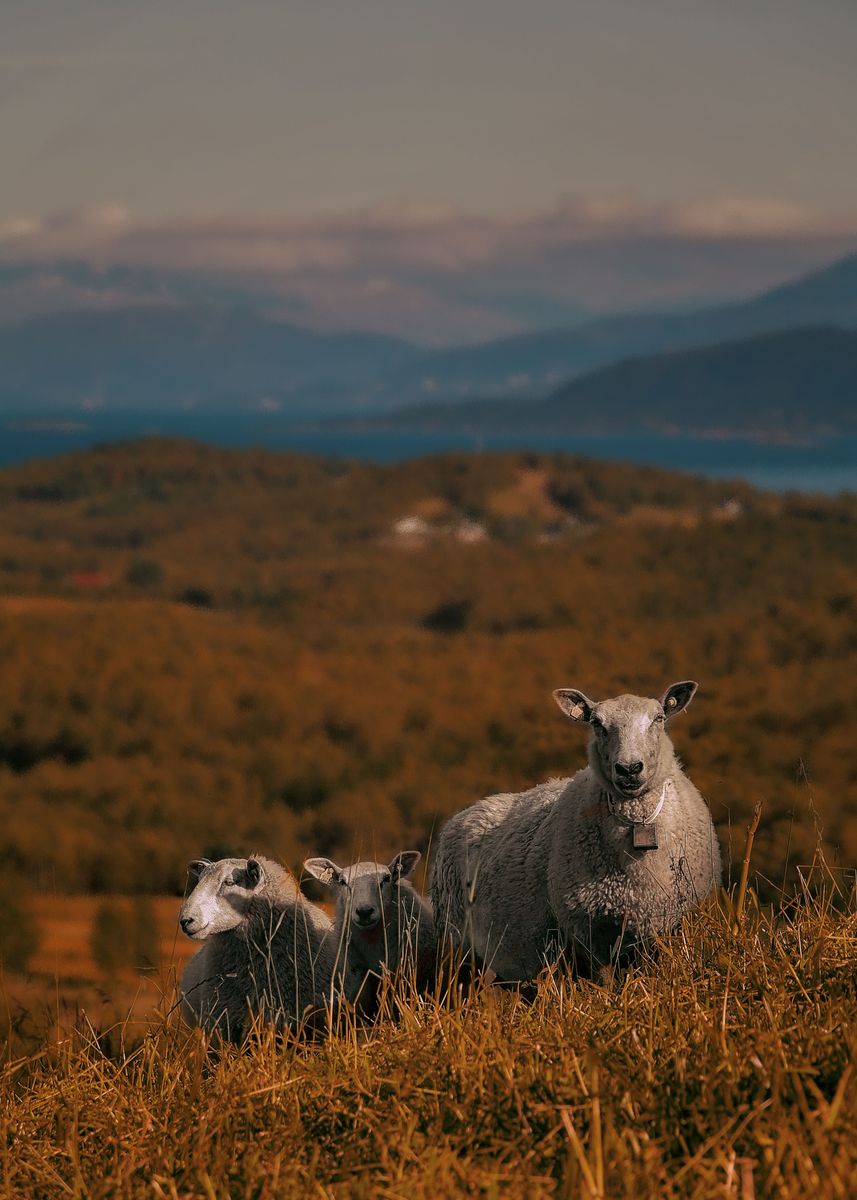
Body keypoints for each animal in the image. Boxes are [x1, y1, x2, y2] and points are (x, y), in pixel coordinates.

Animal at [430, 681, 722, 981]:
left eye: (659, 718)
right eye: (597, 723)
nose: (629, 769)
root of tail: (465, 813)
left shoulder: (667, 925)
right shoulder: (587, 930)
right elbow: (605, 983)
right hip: (456, 944)